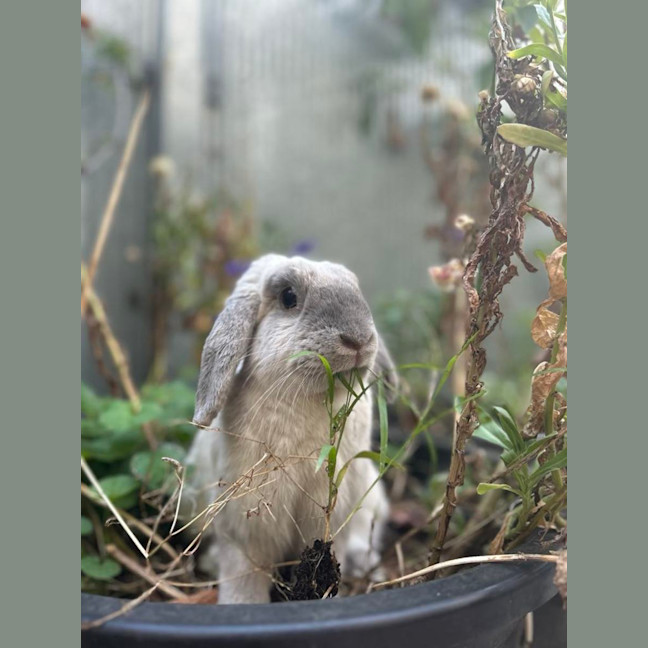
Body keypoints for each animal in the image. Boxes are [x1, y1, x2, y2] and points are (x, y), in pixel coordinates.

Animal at [182, 254, 398, 604]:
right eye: (288, 297)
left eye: (356, 287)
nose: (359, 340)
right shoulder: (244, 527)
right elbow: (244, 572)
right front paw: (242, 604)